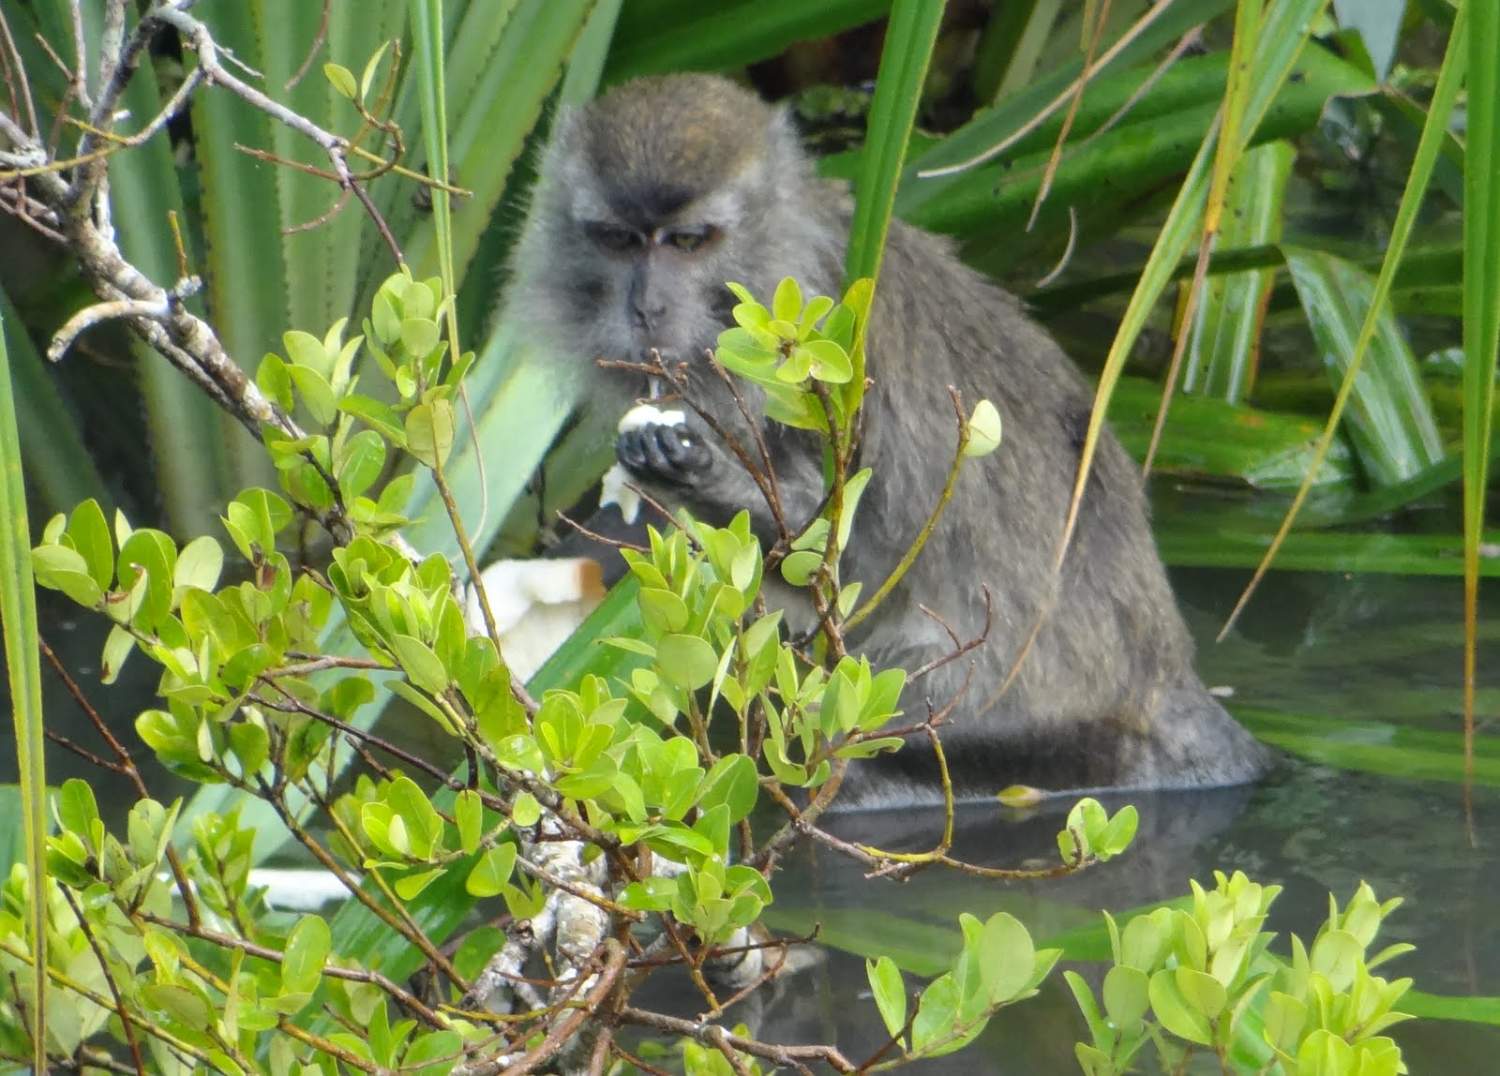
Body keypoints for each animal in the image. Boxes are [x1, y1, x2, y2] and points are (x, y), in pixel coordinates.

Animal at [491, 73, 1273, 808]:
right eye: (617, 239)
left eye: (688, 241)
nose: (646, 308)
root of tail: (1165, 675)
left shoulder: (817, 356)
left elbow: (846, 556)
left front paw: (700, 476)